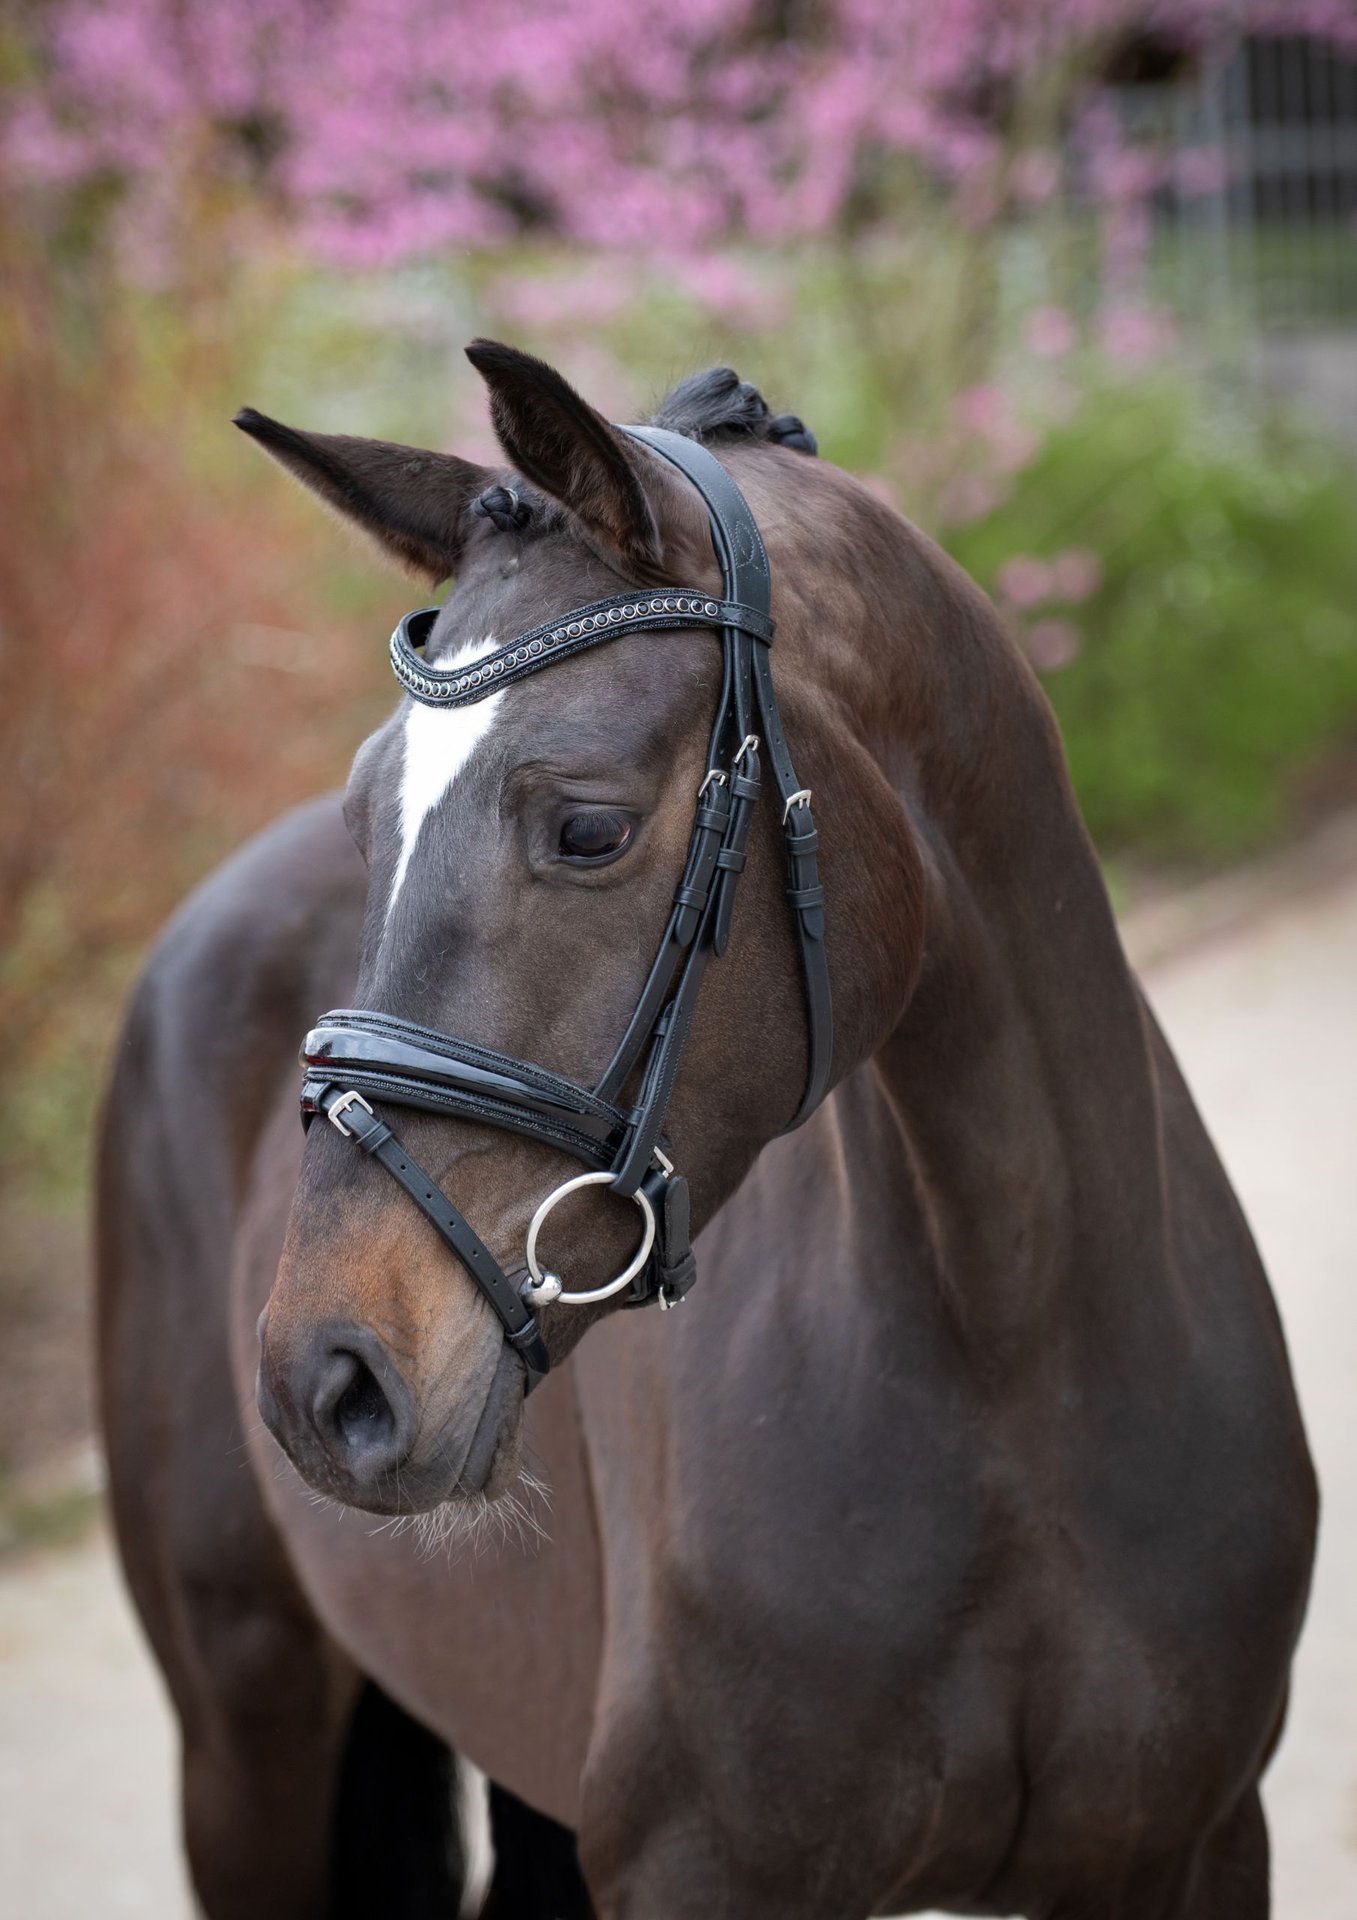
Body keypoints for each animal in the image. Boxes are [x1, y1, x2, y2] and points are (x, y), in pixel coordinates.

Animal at [97, 340, 1316, 1919]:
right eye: (366, 824)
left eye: (589, 829)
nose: (327, 1384)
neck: (1018, 1351)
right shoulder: (698, 1870)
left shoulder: (1195, 1846)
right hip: (242, 1745)